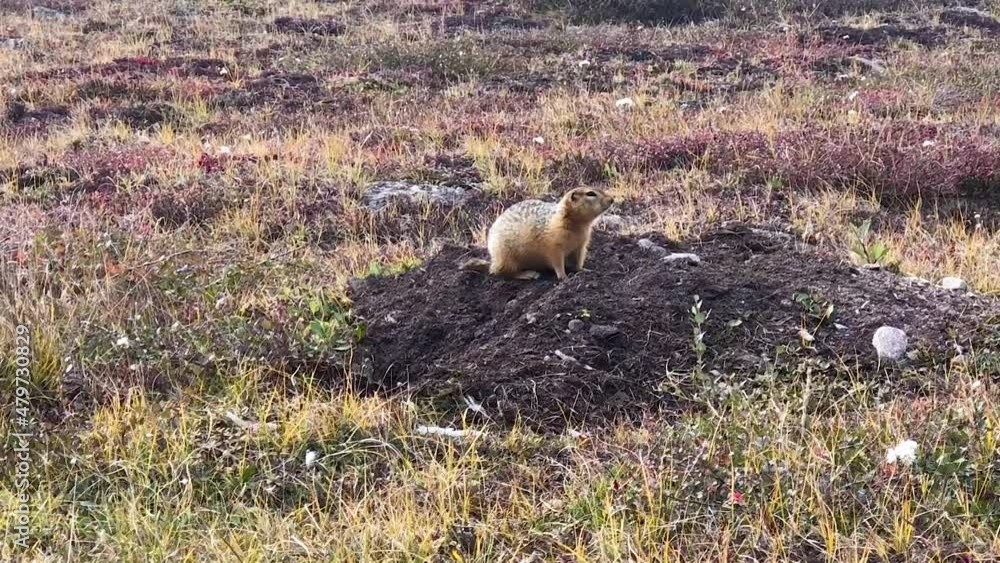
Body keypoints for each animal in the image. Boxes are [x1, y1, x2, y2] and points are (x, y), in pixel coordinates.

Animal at [461, 187, 615, 281]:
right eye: (590, 194)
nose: (612, 199)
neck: (577, 225)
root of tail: (493, 260)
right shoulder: (553, 245)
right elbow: (557, 261)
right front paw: (564, 277)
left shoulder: (581, 245)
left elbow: (578, 259)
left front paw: (584, 270)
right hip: (506, 256)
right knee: (499, 272)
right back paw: (528, 274)